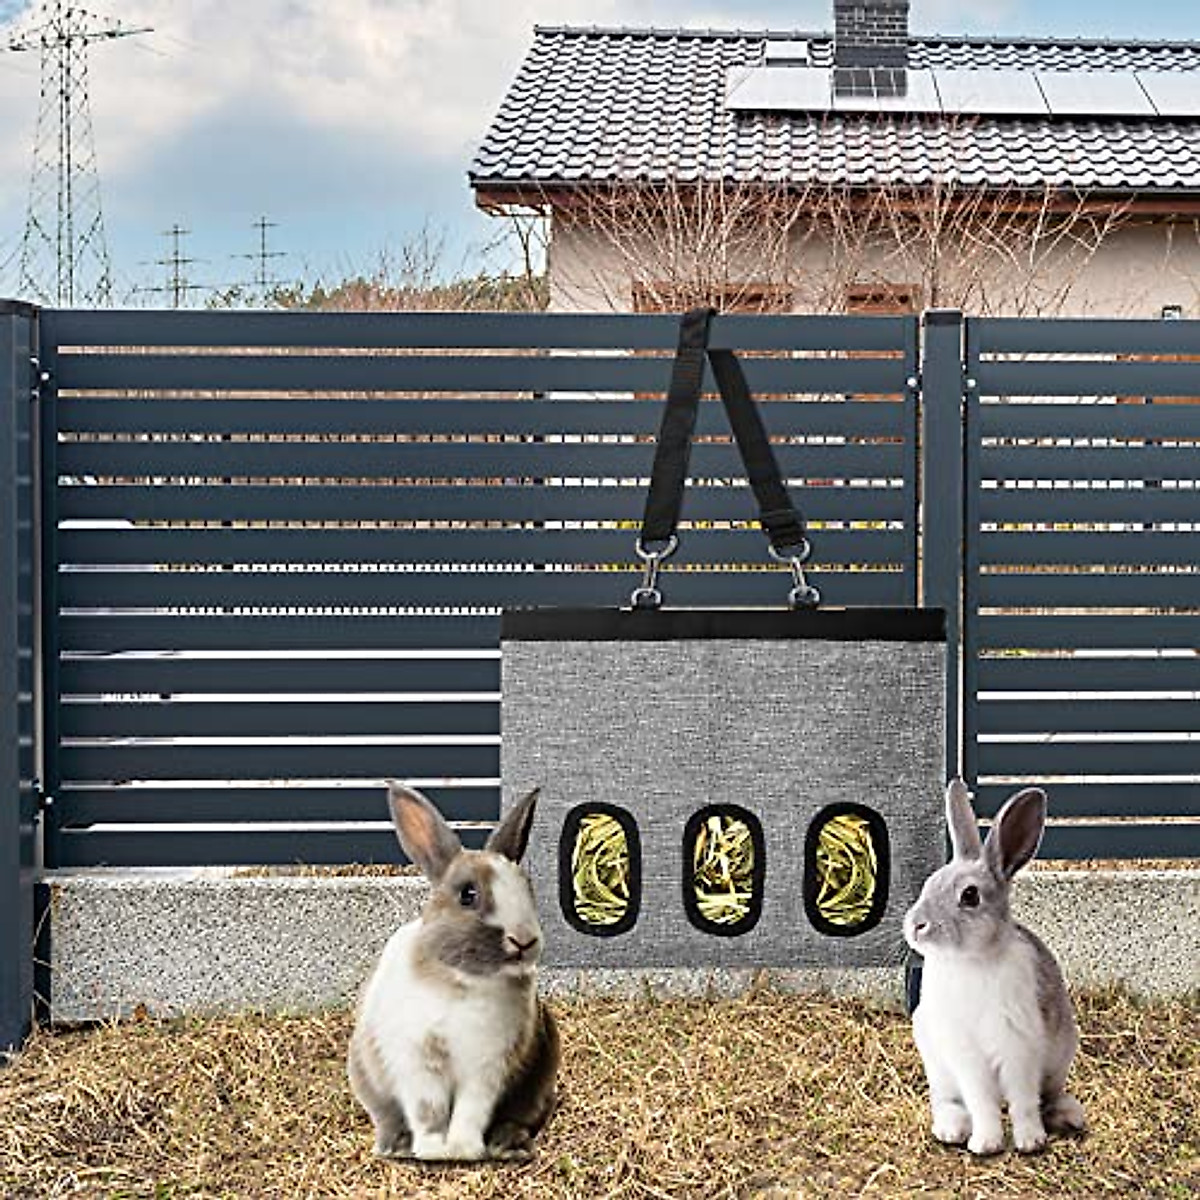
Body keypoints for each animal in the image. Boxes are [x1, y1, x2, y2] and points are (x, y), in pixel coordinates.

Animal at [348, 782, 559, 1163]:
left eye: (527, 888)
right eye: (468, 895)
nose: (524, 940)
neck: (464, 981)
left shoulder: (486, 1068)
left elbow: (470, 1111)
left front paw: (463, 1150)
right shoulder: (417, 1063)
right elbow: (428, 1110)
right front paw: (433, 1151)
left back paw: (508, 1147)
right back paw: (395, 1147)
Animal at [903, 779, 1086, 1156]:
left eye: (970, 896)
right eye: (929, 884)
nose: (915, 926)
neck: (973, 960)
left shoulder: (1019, 1047)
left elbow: (1023, 1101)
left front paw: (1030, 1141)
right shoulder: (966, 1055)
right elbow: (981, 1101)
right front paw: (986, 1144)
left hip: (1060, 1056)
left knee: (1047, 1096)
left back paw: (1069, 1115)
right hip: (936, 1060)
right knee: (947, 1100)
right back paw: (952, 1129)